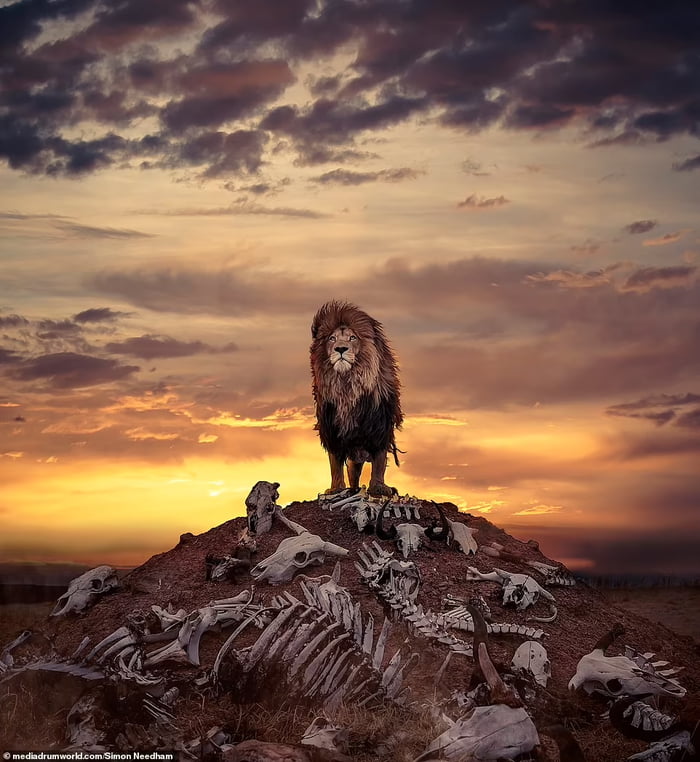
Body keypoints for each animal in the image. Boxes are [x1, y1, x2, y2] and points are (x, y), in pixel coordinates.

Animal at [310, 300, 403, 497]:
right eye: (332, 339)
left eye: (352, 338)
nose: (340, 349)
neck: (347, 384)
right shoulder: (332, 430)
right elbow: (335, 463)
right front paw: (336, 489)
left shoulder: (380, 427)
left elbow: (379, 462)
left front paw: (379, 487)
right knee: (352, 471)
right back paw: (352, 489)